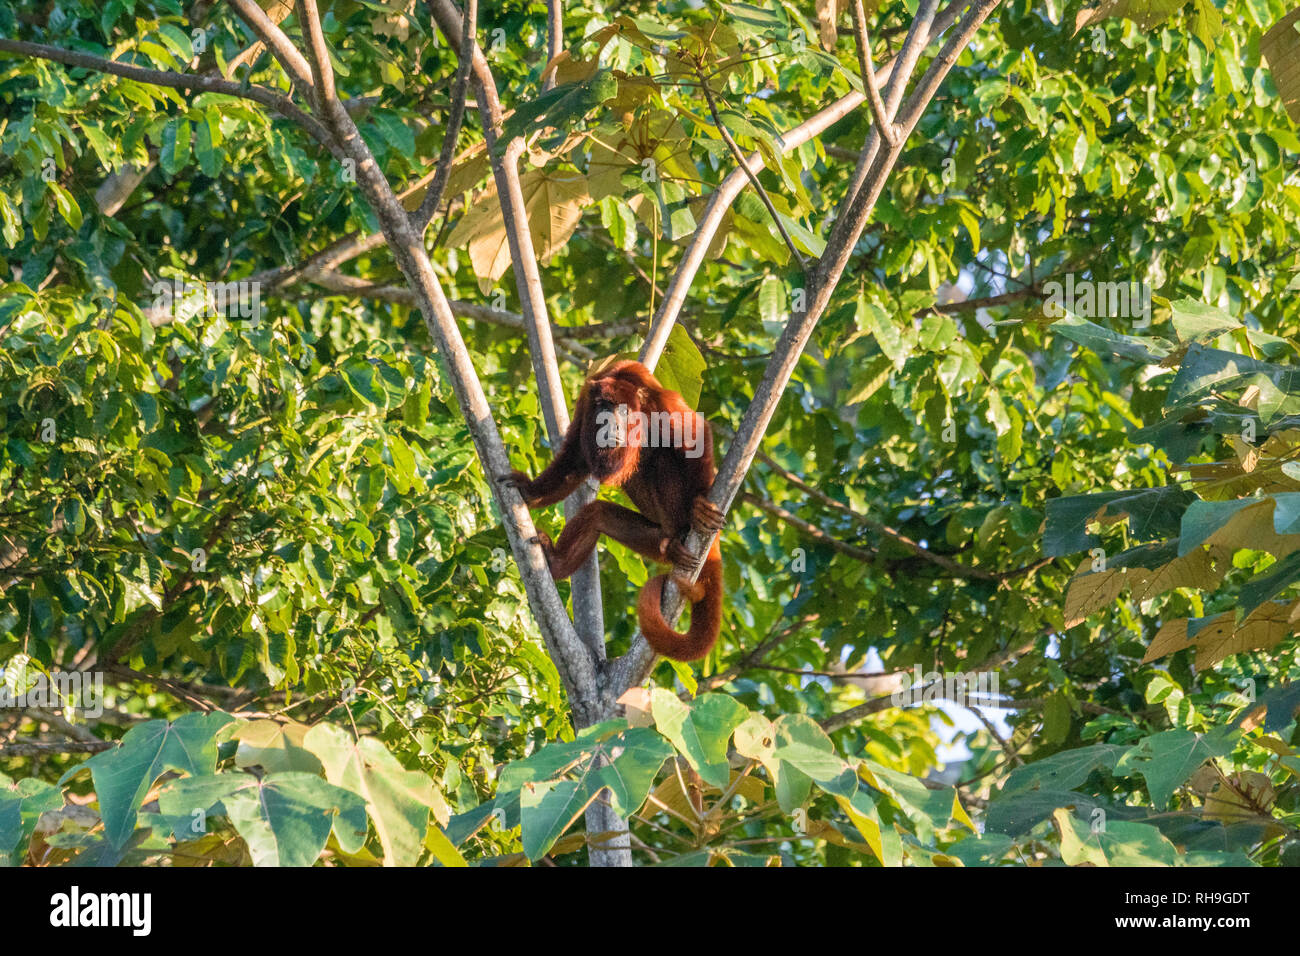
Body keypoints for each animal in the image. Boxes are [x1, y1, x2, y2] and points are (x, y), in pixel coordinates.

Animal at [505, 360, 725, 662]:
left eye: (622, 410)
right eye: (603, 408)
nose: (610, 424)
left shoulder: (660, 403)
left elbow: (696, 435)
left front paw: (701, 504)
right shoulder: (587, 402)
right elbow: (575, 457)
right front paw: (529, 490)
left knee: (663, 458)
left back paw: (687, 524)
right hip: (651, 539)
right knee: (598, 515)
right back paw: (557, 561)